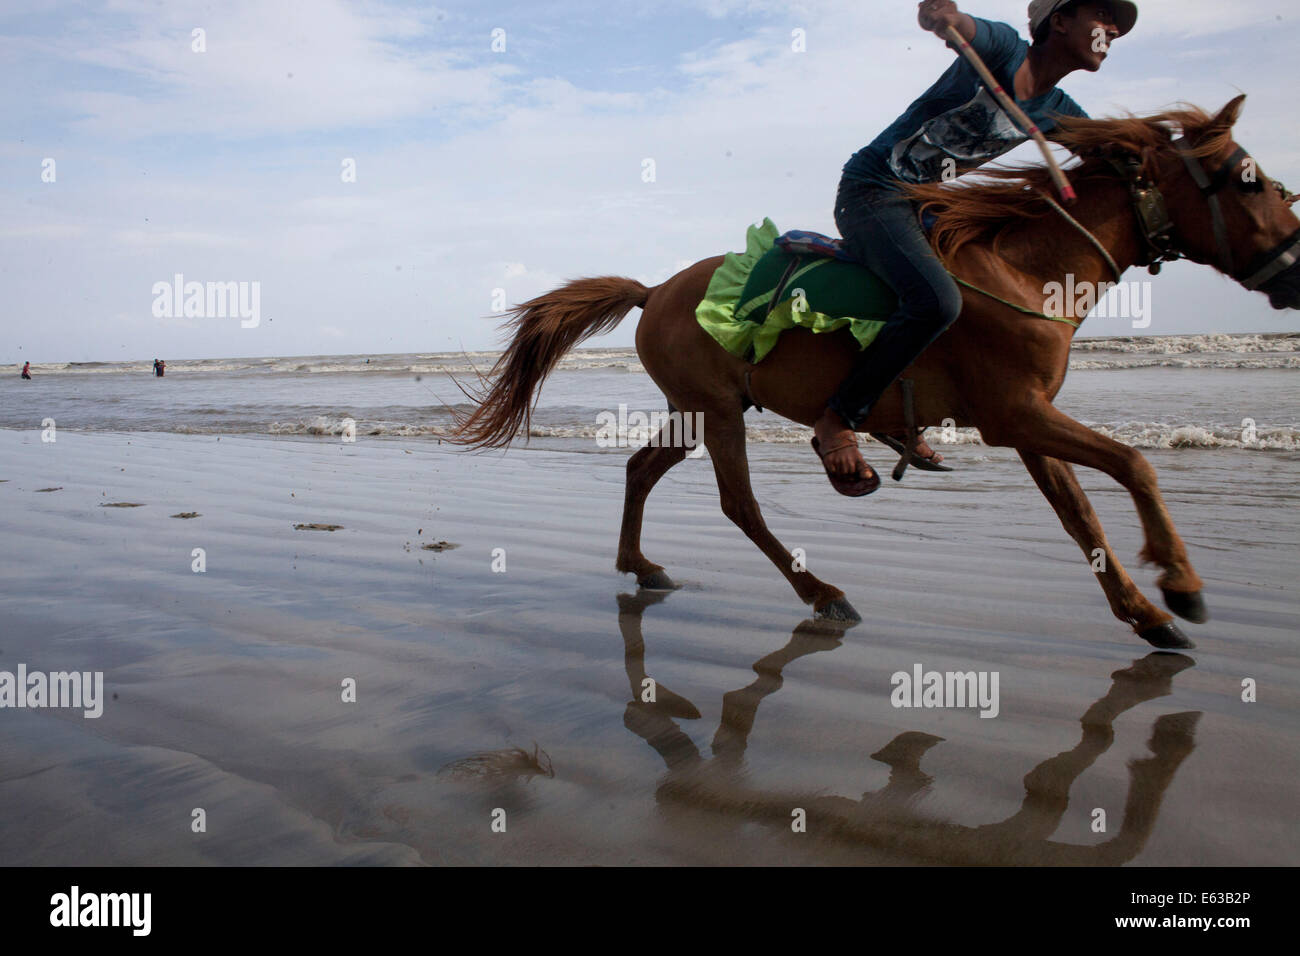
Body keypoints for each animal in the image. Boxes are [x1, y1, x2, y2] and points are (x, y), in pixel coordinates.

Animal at [449, 96, 1300, 648]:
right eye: (1250, 180)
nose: (1294, 270)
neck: (1027, 270)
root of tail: (654, 290)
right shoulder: (1015, 416)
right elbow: (1134, 464)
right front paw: (1181, 587)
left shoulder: (1029, 423)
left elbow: (1082, 515)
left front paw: (1146, 613)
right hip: (717, 412)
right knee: (738, 505)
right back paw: (823, 593)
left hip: (697, 410)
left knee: (640, 469)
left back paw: (642, 566)